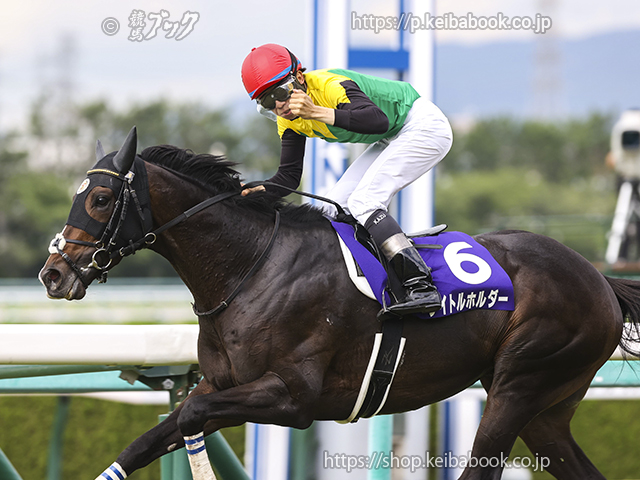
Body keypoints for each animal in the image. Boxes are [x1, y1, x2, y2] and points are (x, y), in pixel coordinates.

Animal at [39, 127, 640, 480]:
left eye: (100, 197)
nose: (53, 273)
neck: (250, 266)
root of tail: (599, 278)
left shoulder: (293, 397)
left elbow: (187, 413)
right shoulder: (222, 384)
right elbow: (147, 440)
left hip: (522, 380)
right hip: (546, 408)